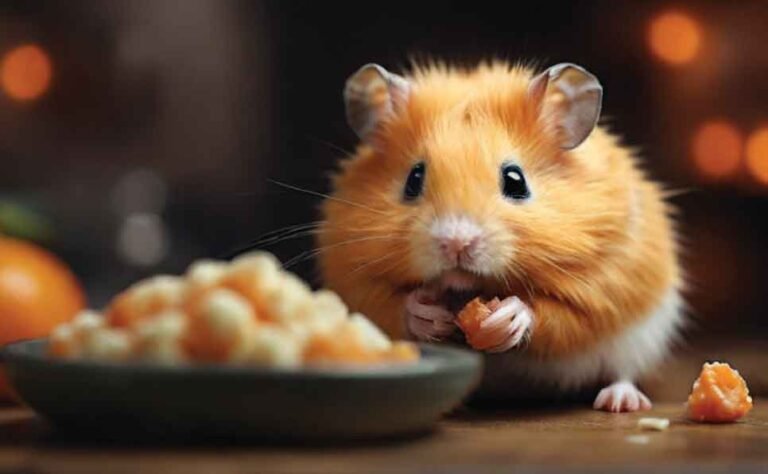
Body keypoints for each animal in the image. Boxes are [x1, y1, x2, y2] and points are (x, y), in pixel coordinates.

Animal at [317, 61, 683, 412]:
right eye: (413, 179)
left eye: (515, 180)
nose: (457, 243)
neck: (469, 288)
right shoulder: (353, 276)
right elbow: (385, 305)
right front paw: (427, 314)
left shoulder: (605, 284)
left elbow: (561, 315)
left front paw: (506, 318)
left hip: (641, 338)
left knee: (623, 371)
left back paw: (620, 402)